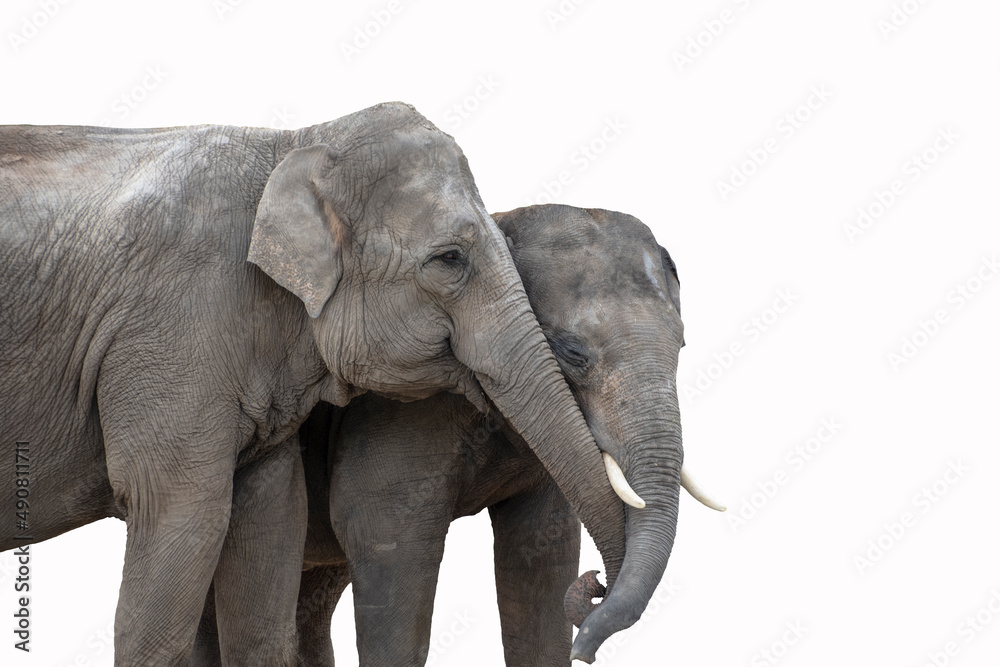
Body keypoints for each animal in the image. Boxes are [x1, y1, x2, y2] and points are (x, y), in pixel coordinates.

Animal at [0, 106, 626, 665]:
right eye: (451, 259)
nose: (594, 584)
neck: (296, 142)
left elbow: (270, 518)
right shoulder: (169, 329)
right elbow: (182, 512)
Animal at [192, 204, 725, 665]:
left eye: (682, 344)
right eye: (572, 353)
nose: (594, 582)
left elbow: (542, 553)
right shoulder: (396, 415)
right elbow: (386, 540)